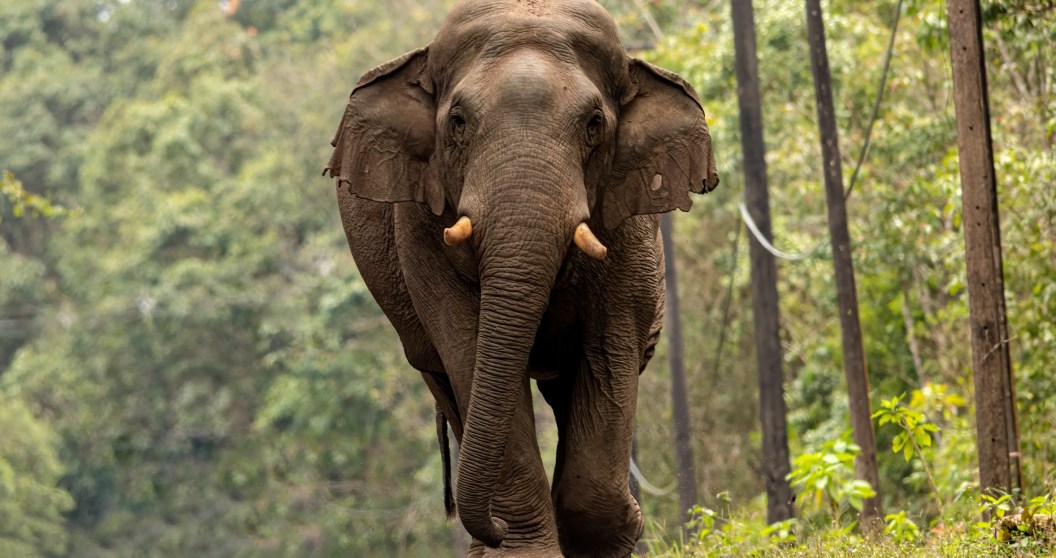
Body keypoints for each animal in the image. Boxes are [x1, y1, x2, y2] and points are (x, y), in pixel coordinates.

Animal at [324, 1, 717, 556]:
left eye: (594, 124)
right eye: (458, 121)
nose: (497, 528)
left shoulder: (628, 226)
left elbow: (609, 348)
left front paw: (611, 538)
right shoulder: (420, 226)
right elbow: (468, 347)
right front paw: (522, 550)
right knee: (449, 384)